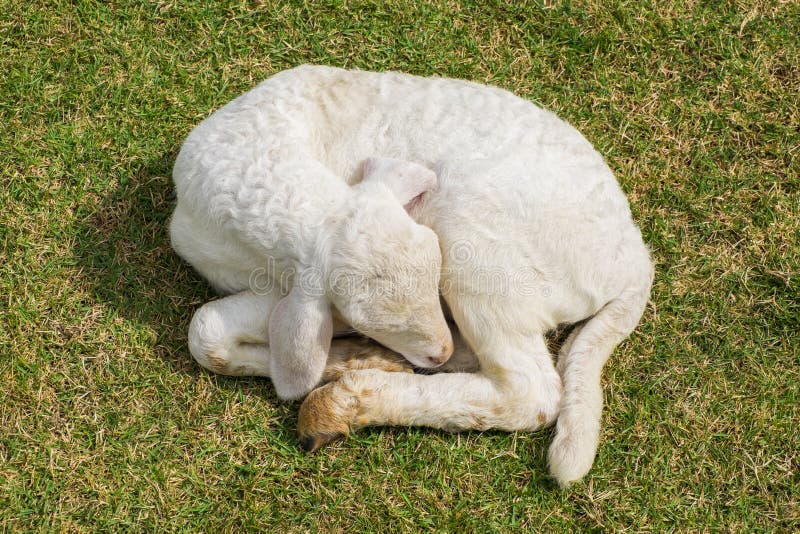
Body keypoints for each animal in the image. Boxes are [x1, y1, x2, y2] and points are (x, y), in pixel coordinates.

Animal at [171, 65, 654, 487]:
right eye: (361, 319)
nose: (439, 352)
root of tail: (634, 263)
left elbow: (207, 326)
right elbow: (213, 333)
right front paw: (355, 355)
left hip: (483, 253)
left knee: (530, 392)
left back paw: (343, 402)